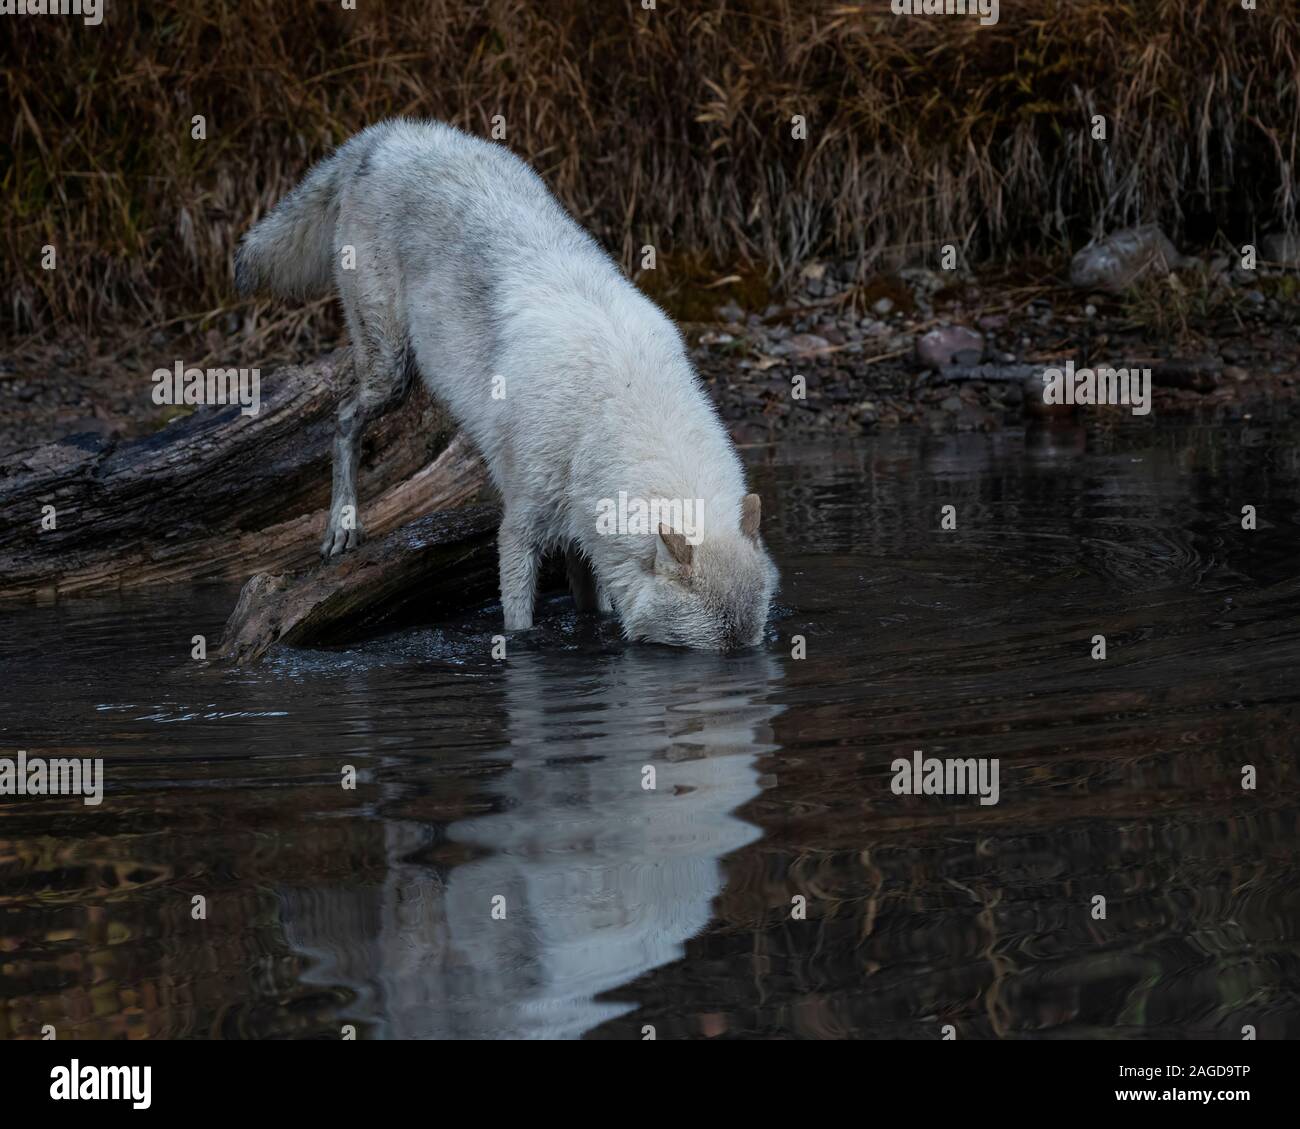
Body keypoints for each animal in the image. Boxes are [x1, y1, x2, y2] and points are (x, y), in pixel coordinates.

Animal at [235, 120, 777, 650]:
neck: (612, 409)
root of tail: (386, 135)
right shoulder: (519, 529)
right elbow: (518, 622)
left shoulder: (584, 537)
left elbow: (594, 607)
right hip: (392, 371)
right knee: (344, 418)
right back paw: (342, 527)